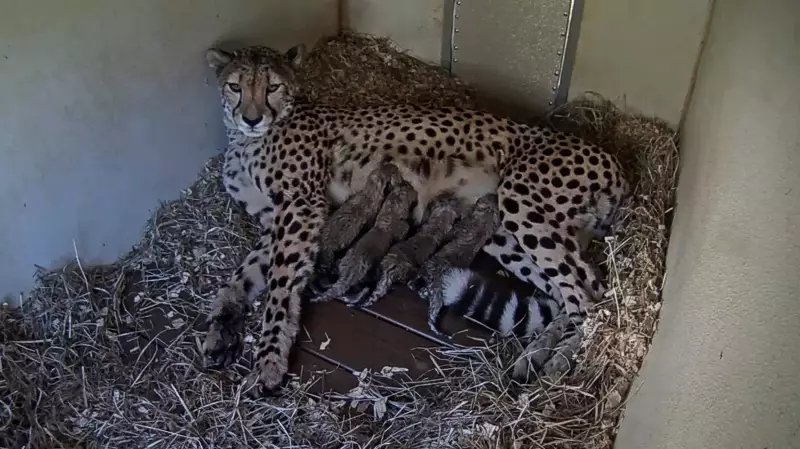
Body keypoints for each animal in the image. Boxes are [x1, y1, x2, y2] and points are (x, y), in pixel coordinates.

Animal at [202, 43, 628, 395]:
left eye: (273, 86)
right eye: (235, 87)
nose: (252, 118)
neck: (247, 141)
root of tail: (613, 160)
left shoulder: (300, 207)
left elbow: (279, 286)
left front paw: (269, 360)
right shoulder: (276, 220)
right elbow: (243, 276)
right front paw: (221, 325)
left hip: (522, 205)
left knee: (590, 293)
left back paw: (554, 360)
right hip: (506, 232)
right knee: (569, 295)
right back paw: (538, 354)